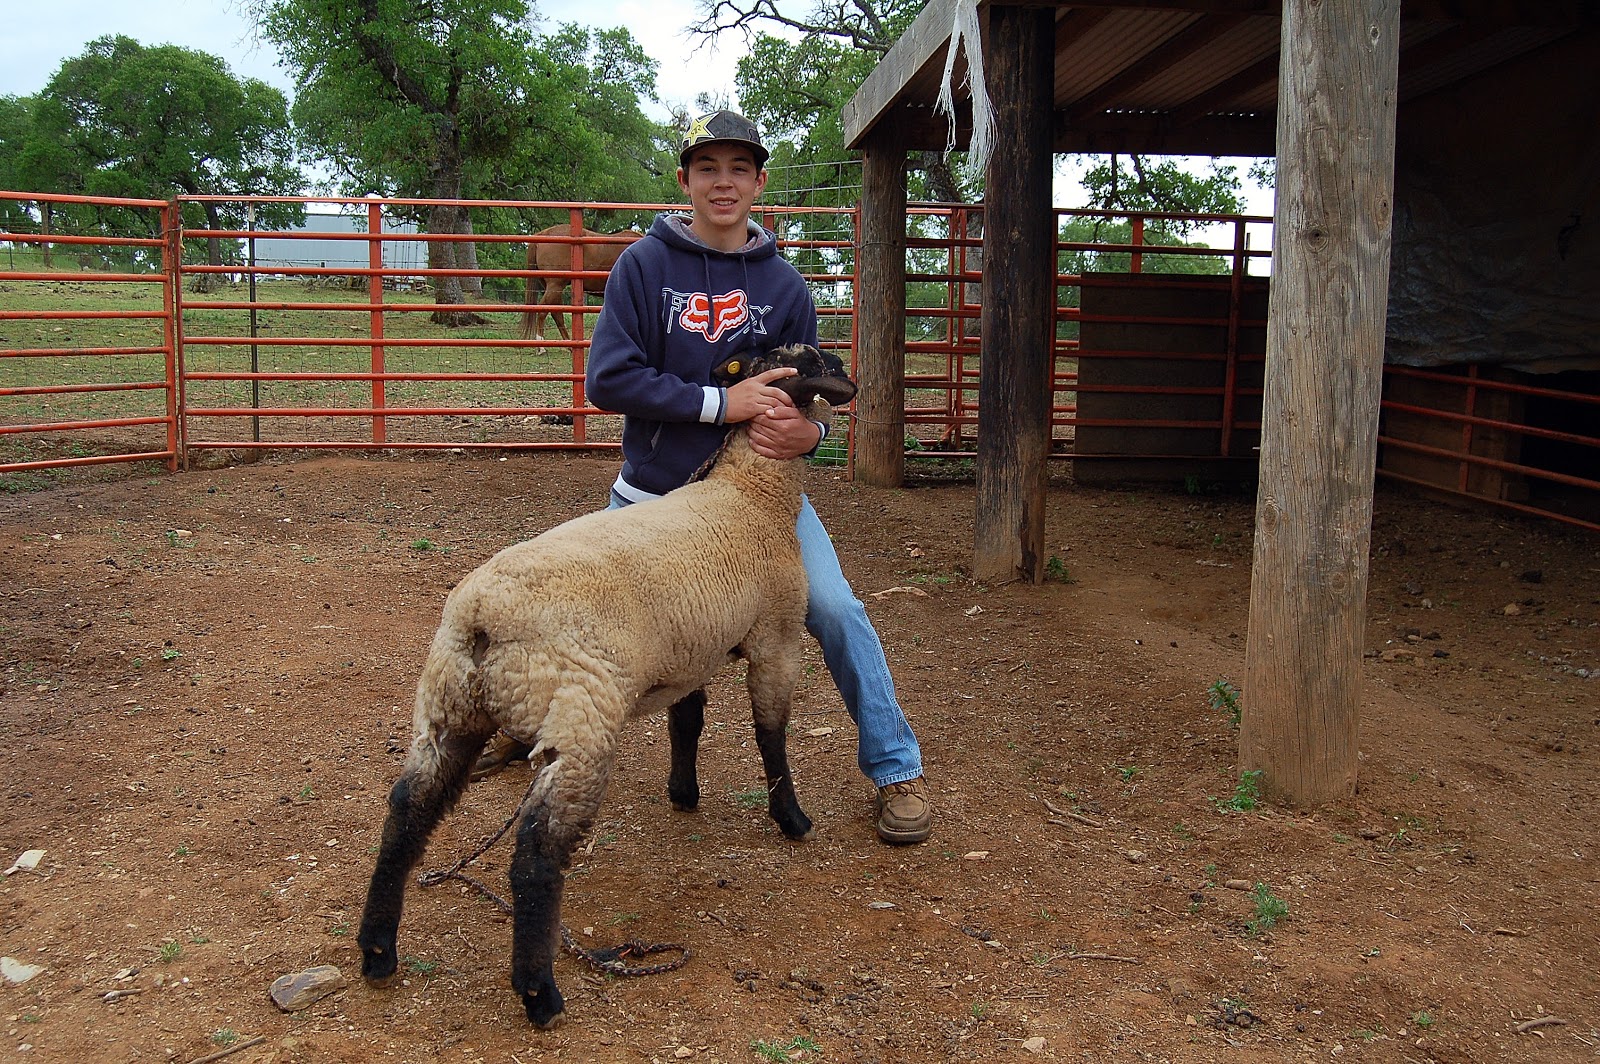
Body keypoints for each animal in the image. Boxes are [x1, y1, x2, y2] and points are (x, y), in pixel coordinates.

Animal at [357, 343, 857, 1029]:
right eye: (810, 358)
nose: (851, 385)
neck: (751, 492)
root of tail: (482, 616)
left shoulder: (689, 653)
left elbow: (688, 720)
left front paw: (684, 792)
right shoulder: (776, 636)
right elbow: (771, 733)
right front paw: (792, 818)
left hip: (447, 708)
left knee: (408, 810)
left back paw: (378, 949)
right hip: (580, 722)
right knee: (536, 853)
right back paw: (538, 991)